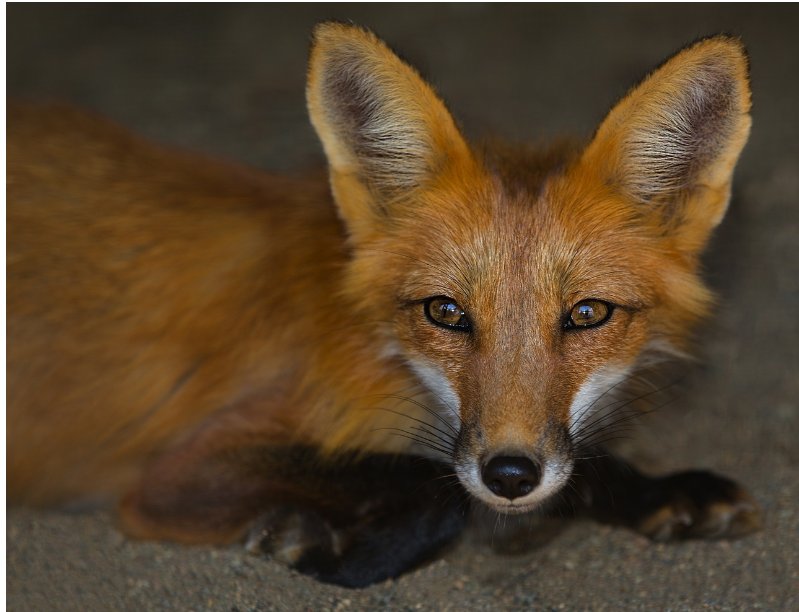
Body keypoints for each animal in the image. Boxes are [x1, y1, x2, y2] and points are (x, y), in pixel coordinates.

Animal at [8, 23, 760, 587]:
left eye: (587, 315)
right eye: (445, 313)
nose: (510, 475)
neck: (382, 351)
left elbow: (564, 468)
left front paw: (658, 491)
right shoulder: (179, 470)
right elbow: (429, 485)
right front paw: (315, 547)